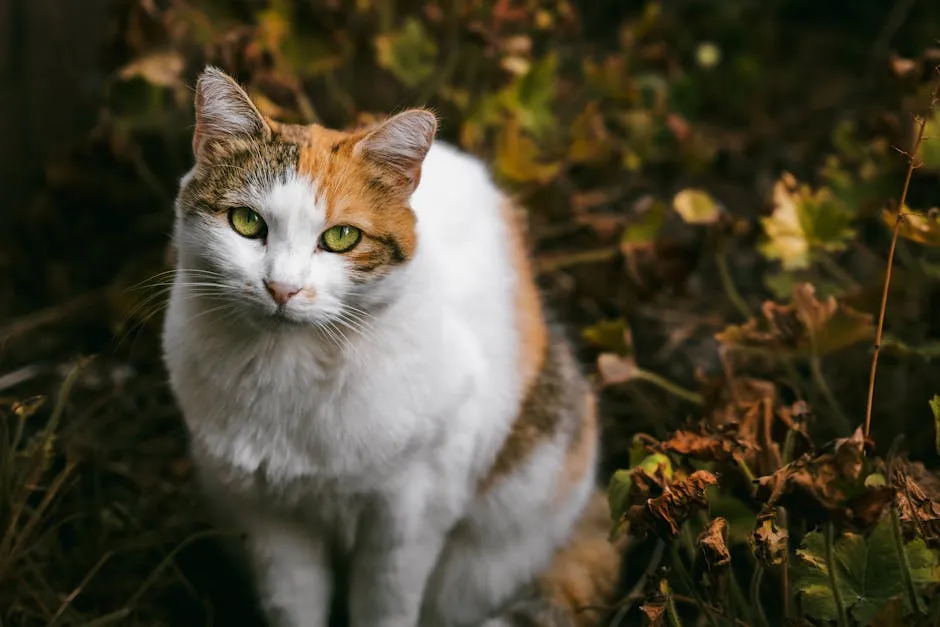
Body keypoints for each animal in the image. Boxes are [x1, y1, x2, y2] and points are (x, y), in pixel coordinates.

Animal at [162, 67, 624, 627]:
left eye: (341, 237)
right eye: (247, 223)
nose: (282, 288)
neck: (290, 367)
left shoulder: (409, 517)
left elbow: (385, 605)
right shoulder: (270, 519)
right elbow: (293, 602)